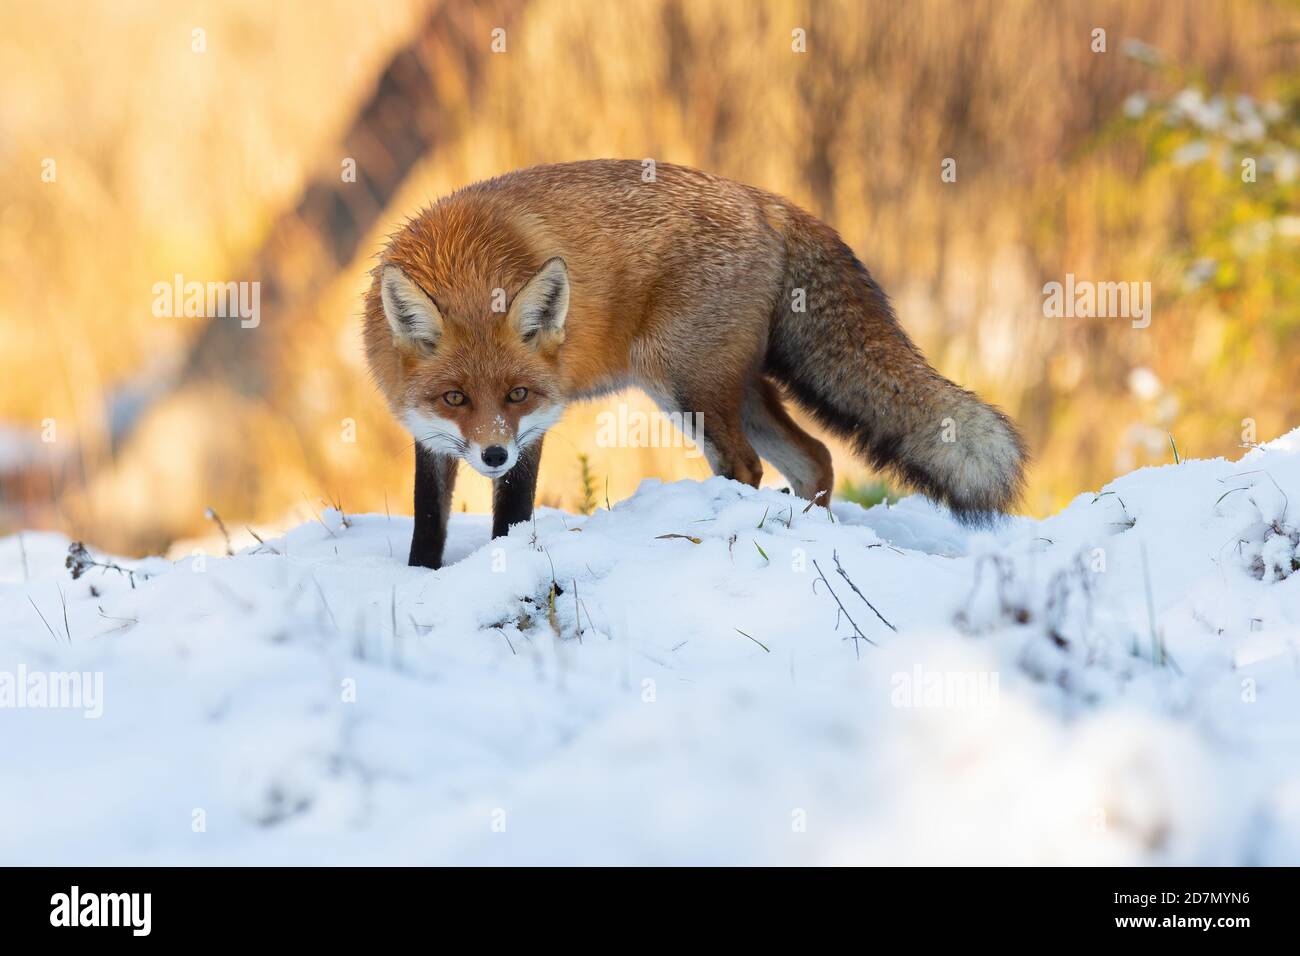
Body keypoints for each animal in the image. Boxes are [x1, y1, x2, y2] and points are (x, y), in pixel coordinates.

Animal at [364, 160, 1025, 569]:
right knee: (815, 458)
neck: (465, 259)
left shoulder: (535, 428)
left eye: (517, 395)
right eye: (455, 398)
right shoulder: (429, 435)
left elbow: (512, 515)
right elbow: (429, 519)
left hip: (688, 387)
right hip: (737, 391)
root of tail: (768, 202)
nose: (494, 455)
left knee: (747, 465)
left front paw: (501, 565)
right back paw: (806, 532)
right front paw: (421, 578)